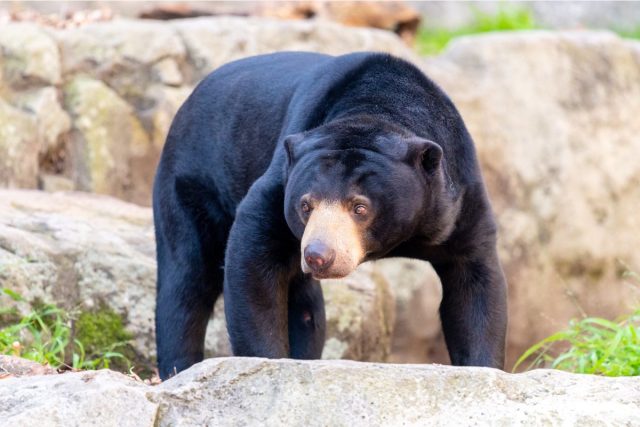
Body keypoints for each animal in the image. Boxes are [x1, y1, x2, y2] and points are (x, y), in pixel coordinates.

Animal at [153, 51, 507, 380]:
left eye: (360, 207)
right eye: (305, 205)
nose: (318, 255)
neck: (376, 108)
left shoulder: (459, 201)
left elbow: (474, 283)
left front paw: (483, 366)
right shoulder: (279, 182)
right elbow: (252, 258)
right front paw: (265, 361)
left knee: (305, 305)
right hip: (191, 184)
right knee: (186, 279)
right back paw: (178, 368)